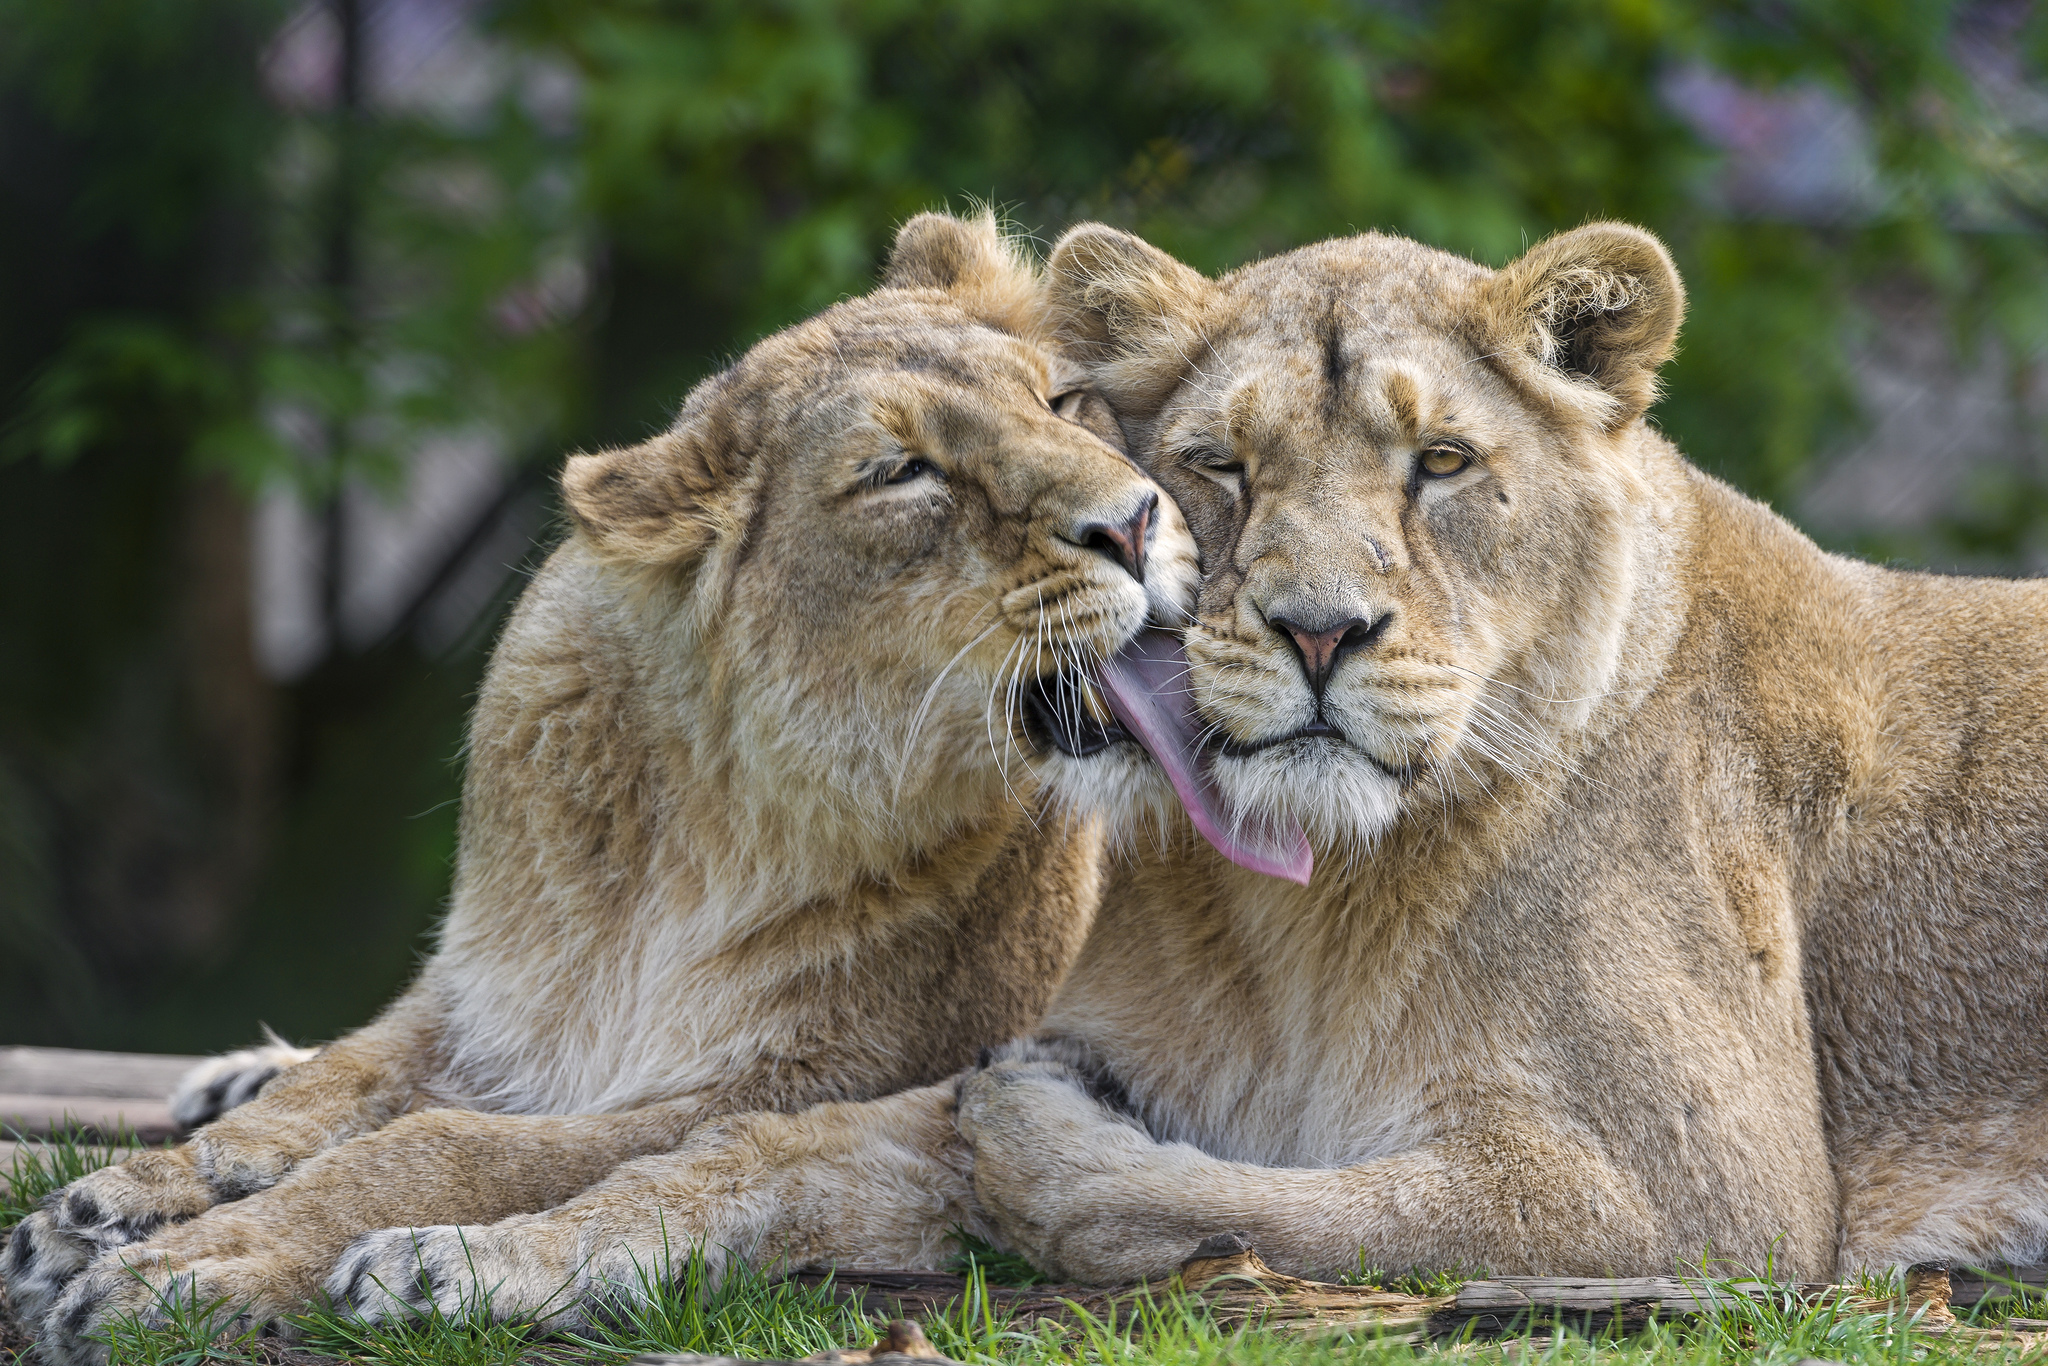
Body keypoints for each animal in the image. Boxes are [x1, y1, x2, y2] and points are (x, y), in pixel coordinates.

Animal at [2, 209, 1203, 1363]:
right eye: (901, 471)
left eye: (1062, 401)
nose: (1135, 520)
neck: (707, 809)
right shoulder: (489, 993)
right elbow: (339, 1084)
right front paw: (125, 1202)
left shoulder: (812, 1077)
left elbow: (441, 1145)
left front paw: (182, 1265)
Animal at [296, 218, 2047, 1328]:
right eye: (1222, 464)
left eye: (1443, 464)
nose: (1320, 628)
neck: (1311, 906)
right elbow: (751, 1155)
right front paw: (454, 1261)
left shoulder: (1707, 1197)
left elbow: (1297, 1203)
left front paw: (1041, 1135)